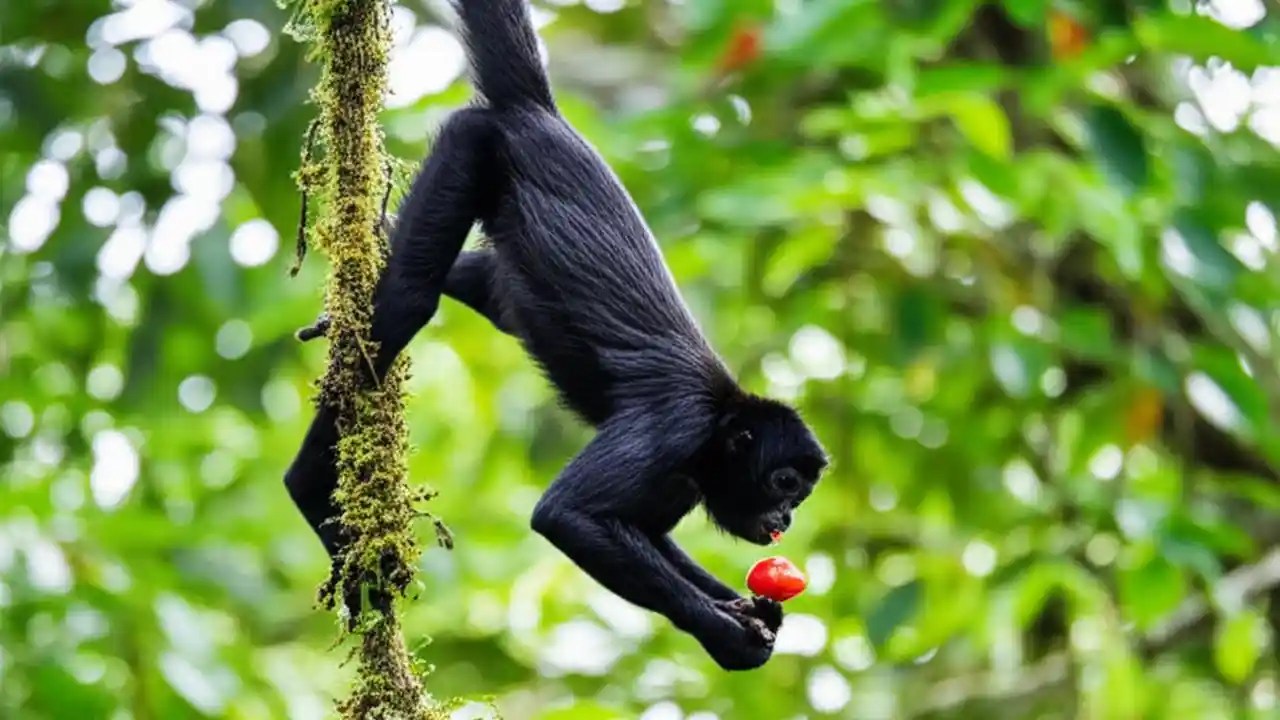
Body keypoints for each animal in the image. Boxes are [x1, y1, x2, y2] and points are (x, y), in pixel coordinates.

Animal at [284, 0, 828, 671]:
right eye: (784, 484)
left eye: (800, 495)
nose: (784, 519)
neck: (719, 425)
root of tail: (540, 113)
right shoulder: (675, 428)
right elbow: (566, 518)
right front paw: (727, 635)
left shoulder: (680, 478)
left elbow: (644, 534)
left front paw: (758, 612)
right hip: (471, 146)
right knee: (412, 297)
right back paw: (311, 489)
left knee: (482, 281)